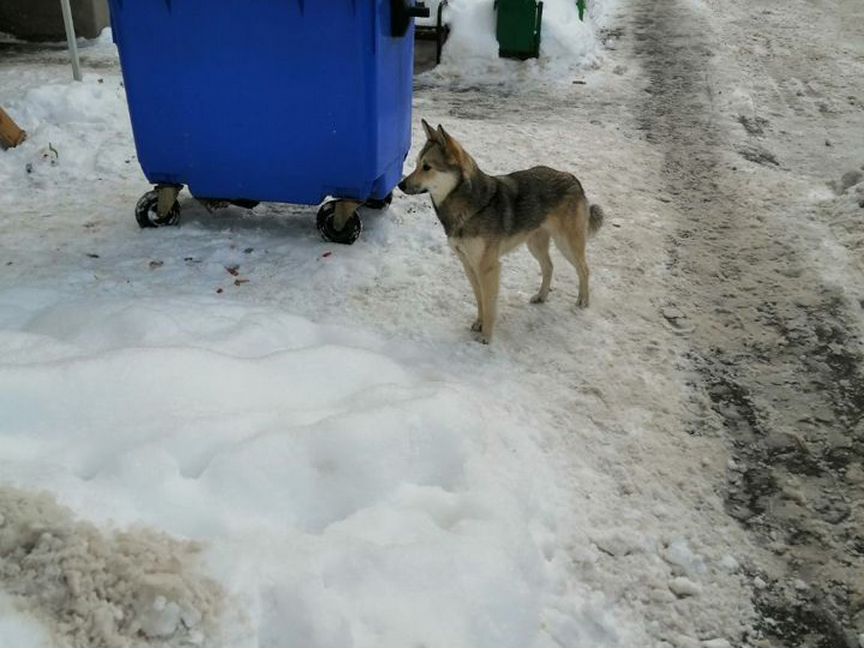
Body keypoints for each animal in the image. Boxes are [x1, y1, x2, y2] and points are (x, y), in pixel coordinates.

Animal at [396, 121, 604, 344]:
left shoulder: (488, 267)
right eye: (416, 164)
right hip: (535, 243)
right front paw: (479, 323)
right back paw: (541, 296)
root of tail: (572, 178)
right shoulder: (469, 265)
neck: (471, 205)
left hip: (566, 243)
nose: (400, 184)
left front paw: (486, 336)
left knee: (584, 269)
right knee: (549, 266)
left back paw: (583, 300)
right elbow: (479, 299)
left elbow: (489, 303)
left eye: (427, 167)